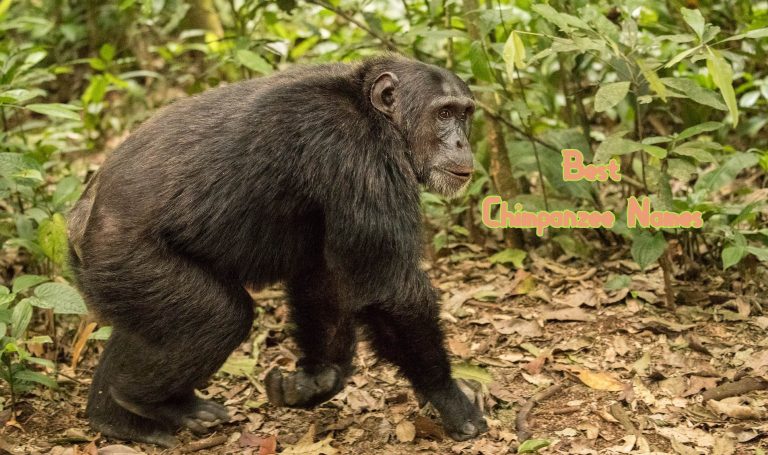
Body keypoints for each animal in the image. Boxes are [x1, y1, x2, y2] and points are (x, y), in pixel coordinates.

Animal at [68, 54, 486, 448]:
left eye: (464, 114)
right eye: (443, 113)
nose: (461, 142)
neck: (375, 116)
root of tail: (75, 221)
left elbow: (324, 276)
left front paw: (316, 380)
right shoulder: (356, 156)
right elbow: (390, 291)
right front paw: (452, 400)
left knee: (144, 330)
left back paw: (117, 420)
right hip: (130, 261)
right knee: (219, 317)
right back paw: (153, 401)